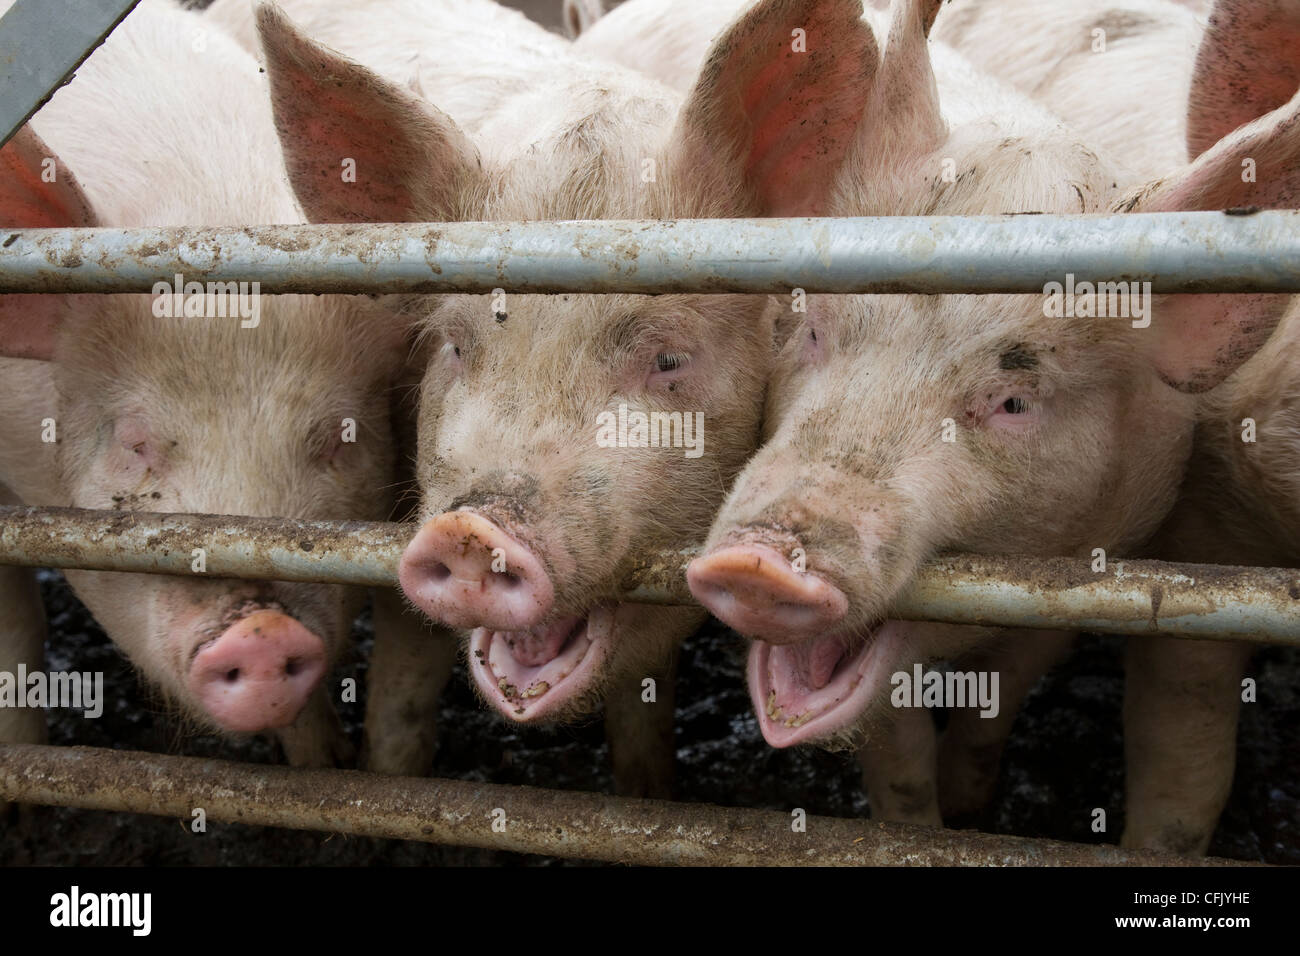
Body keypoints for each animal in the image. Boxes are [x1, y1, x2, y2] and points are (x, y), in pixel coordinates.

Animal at [575, 0, 1300, 828]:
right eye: (813, 328)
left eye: (1014, 401)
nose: (758, 563)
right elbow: (901, 771)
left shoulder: (1087, 569)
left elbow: (995, 714)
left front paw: (972, 811)